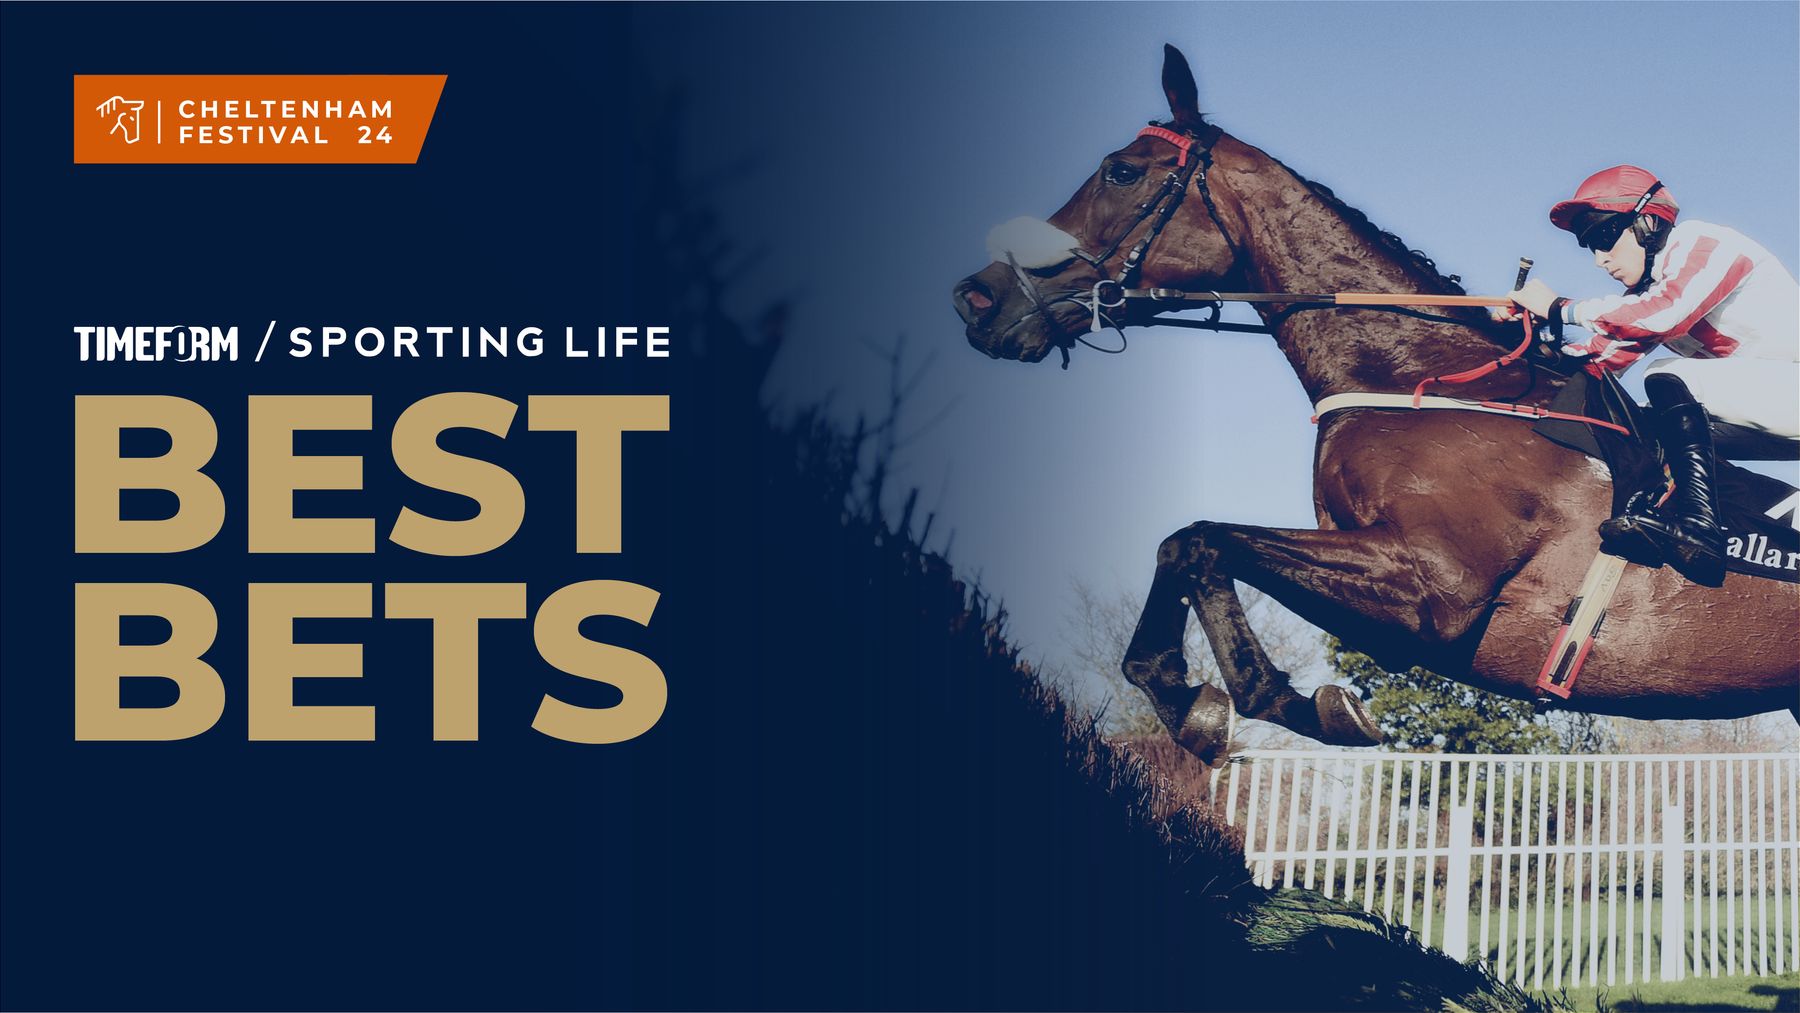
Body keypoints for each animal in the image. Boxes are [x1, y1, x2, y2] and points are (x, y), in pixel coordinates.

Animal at [951, 45, 1798, 763]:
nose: (976, 297)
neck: (1422, 378)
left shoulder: (1432, 588)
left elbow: (1202, 541)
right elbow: (1183, 544)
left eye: (1122, 171)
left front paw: (1274, 700)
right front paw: (1184, 695)